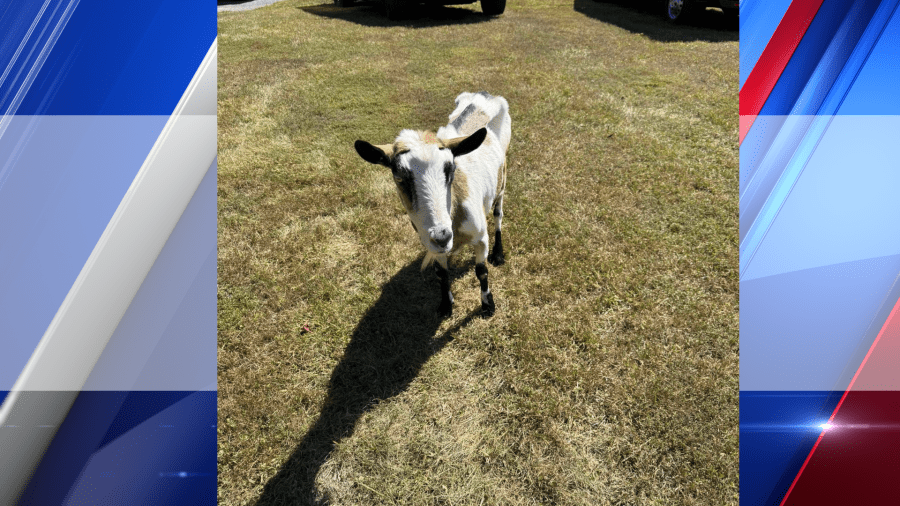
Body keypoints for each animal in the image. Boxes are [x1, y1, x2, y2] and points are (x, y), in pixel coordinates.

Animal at [354, 91, 511, 318]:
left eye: (450, 168)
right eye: (399, 176)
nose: (442, 236)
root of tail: (483, 96)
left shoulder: (481, 238)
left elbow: (481, 271)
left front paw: (487, 305)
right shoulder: (432, 244)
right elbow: (441, 273)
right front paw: (446, 305)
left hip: (502, 182)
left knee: (498, 214)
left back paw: (498, 254)